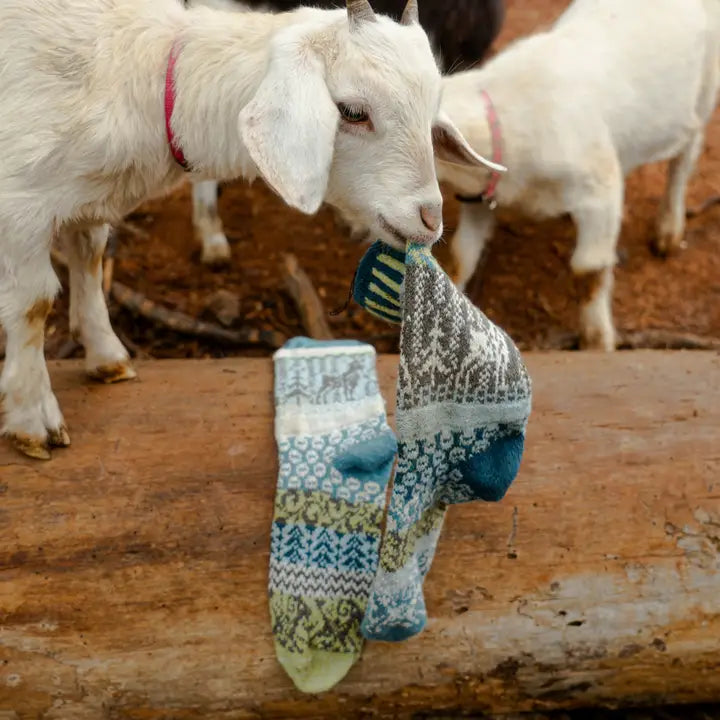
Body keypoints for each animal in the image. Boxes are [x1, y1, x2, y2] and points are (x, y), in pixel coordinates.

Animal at [436, 0, 720, 351]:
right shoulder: (481, 196)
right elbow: (460, 256)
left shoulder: (600, 191)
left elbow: (588, 270)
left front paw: (597, 342)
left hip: (704, 92)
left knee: (684, 158)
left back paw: (668, 229)